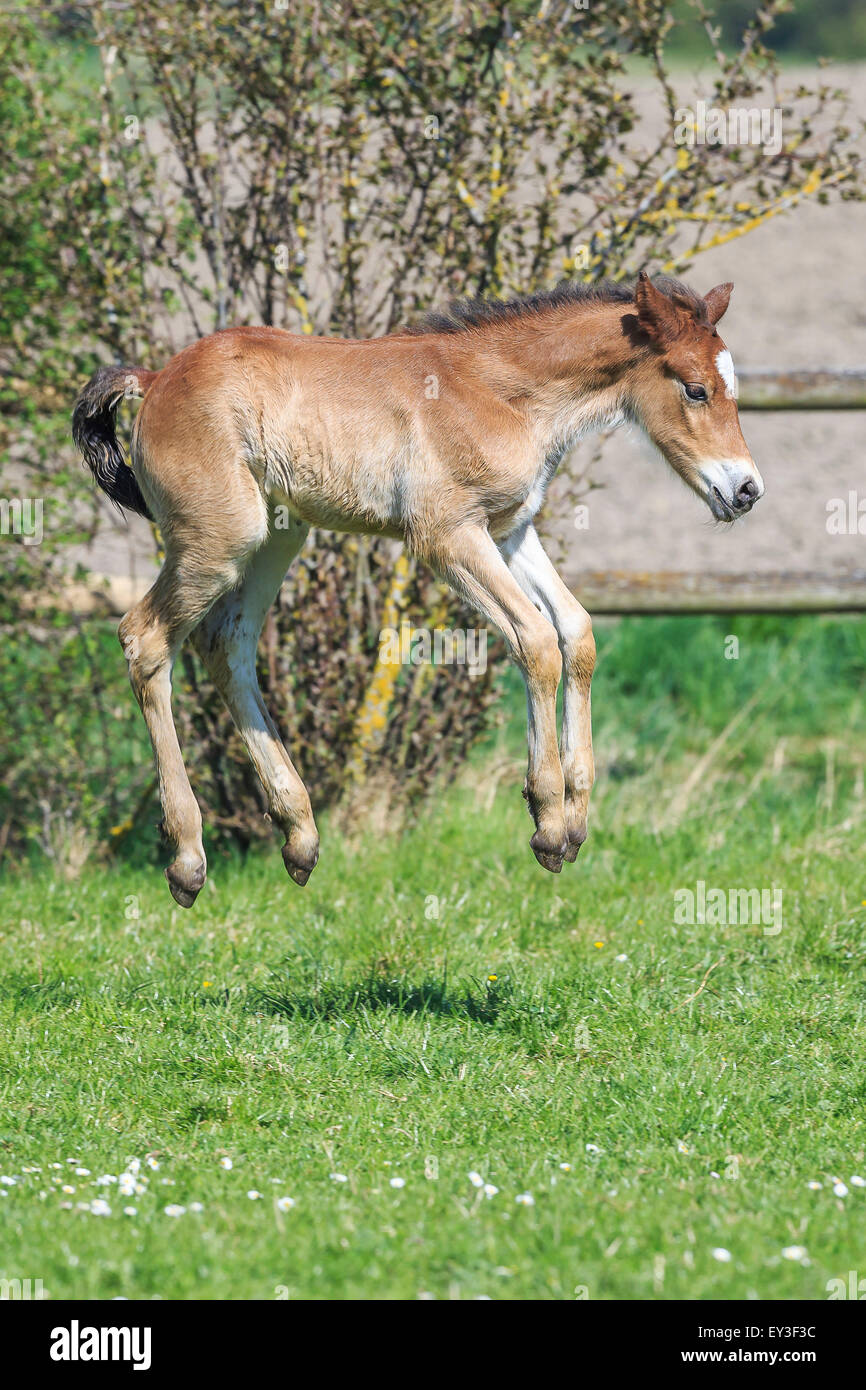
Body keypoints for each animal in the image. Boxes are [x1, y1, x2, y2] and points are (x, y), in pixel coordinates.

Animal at [72, 272, 763, 907]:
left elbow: (577, 631)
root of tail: (156, 377)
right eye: (696, 389)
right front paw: (548, 822)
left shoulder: (511, 529)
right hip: (219, 539)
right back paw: (188, 859)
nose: (747, 490)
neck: (500, 392)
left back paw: (298, 834)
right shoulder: (446, 534)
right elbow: (536, 639)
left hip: (277, 536)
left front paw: (577, 820)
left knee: (228, 645)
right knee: (144, 639)